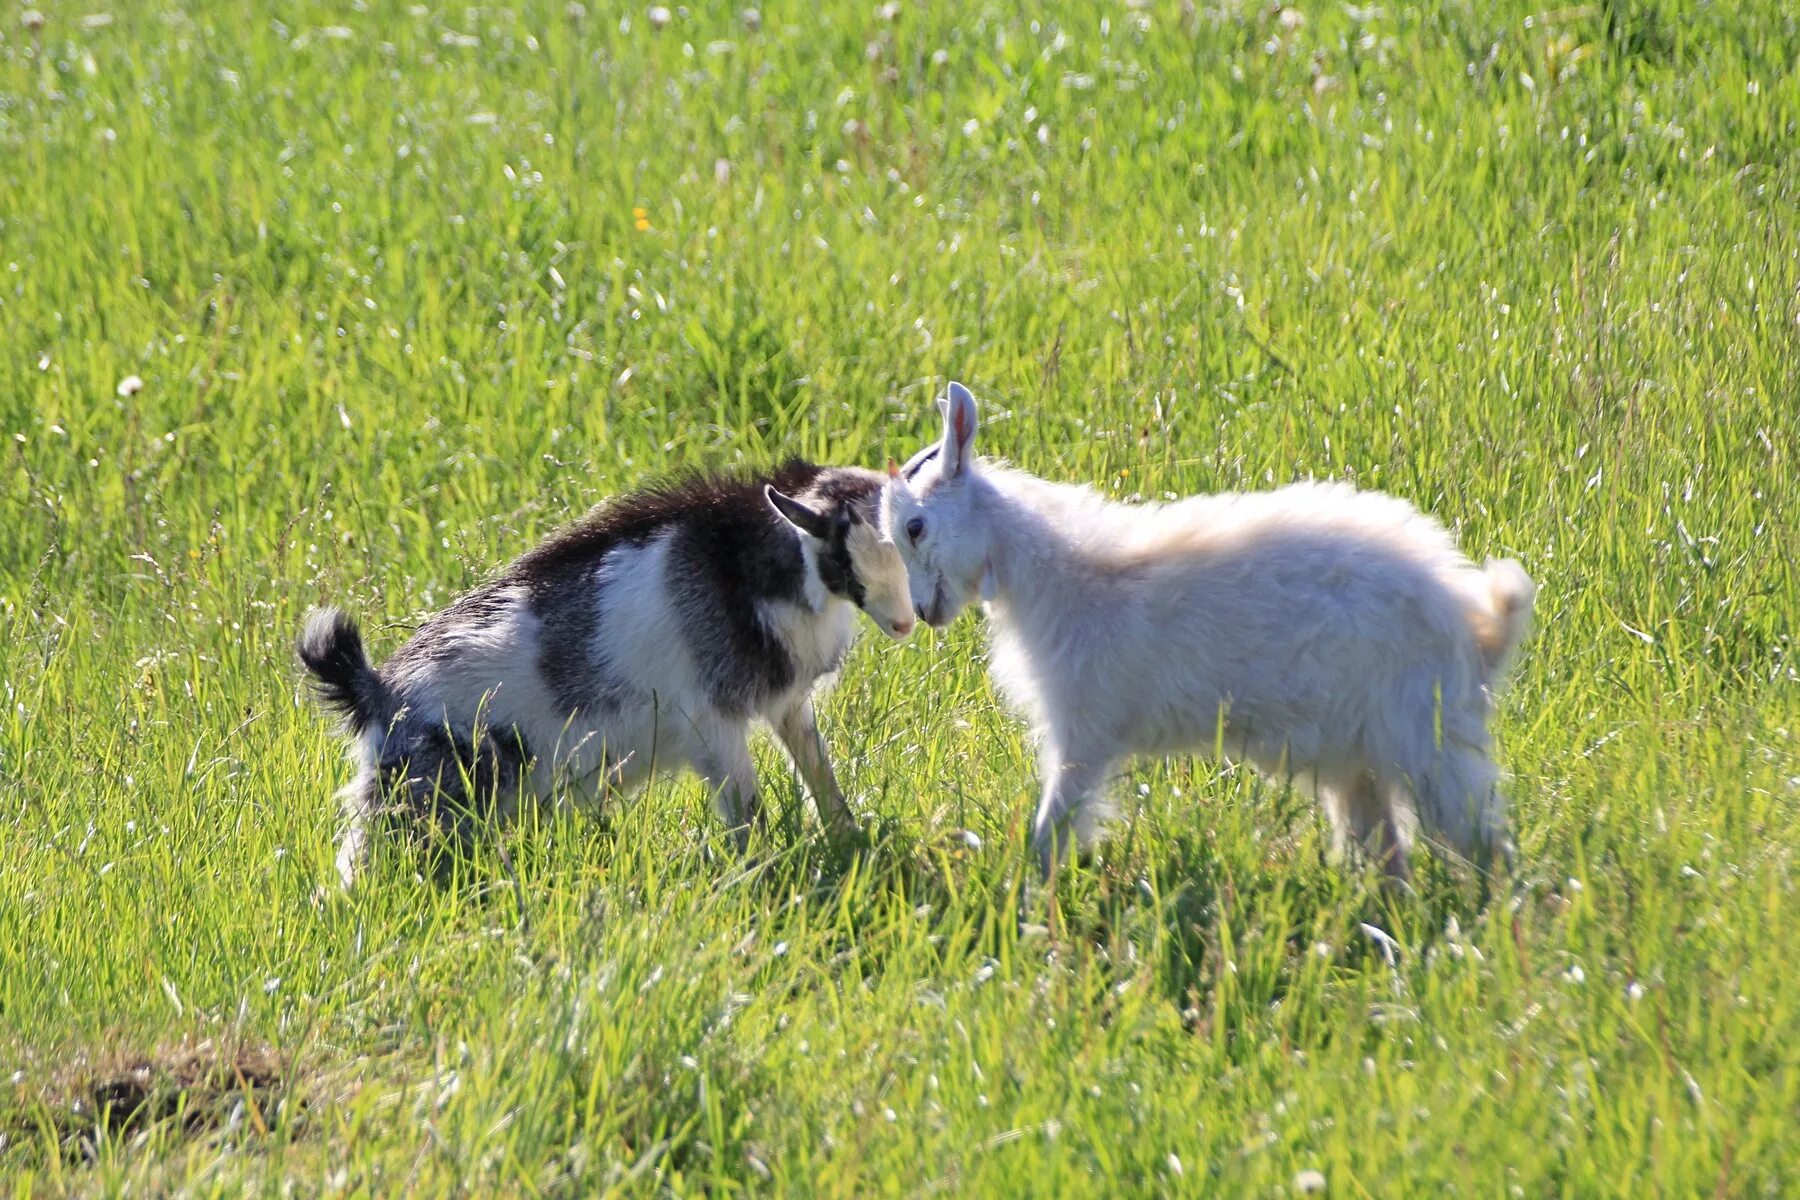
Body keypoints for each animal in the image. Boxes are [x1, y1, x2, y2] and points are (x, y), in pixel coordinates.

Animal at [302, 464, 914, 888]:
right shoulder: (710, 722)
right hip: (420, 800)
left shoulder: (788, 706)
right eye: (843, 557)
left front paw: (850, 840)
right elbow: (748, 814)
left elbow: (821, 776)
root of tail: (376, 691)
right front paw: (768, 871)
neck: (736, 569)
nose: (905, 623)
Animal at [885, 385, 1533, 881]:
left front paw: (1029, 907)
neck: (1058, 573)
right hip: (1361, 755)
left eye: (915, 528)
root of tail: (1478, 628)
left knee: (1484, 845)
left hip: (1428, 736)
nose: (921, 613)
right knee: (1388, 851)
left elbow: (1053, 829)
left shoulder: (1084, 729)